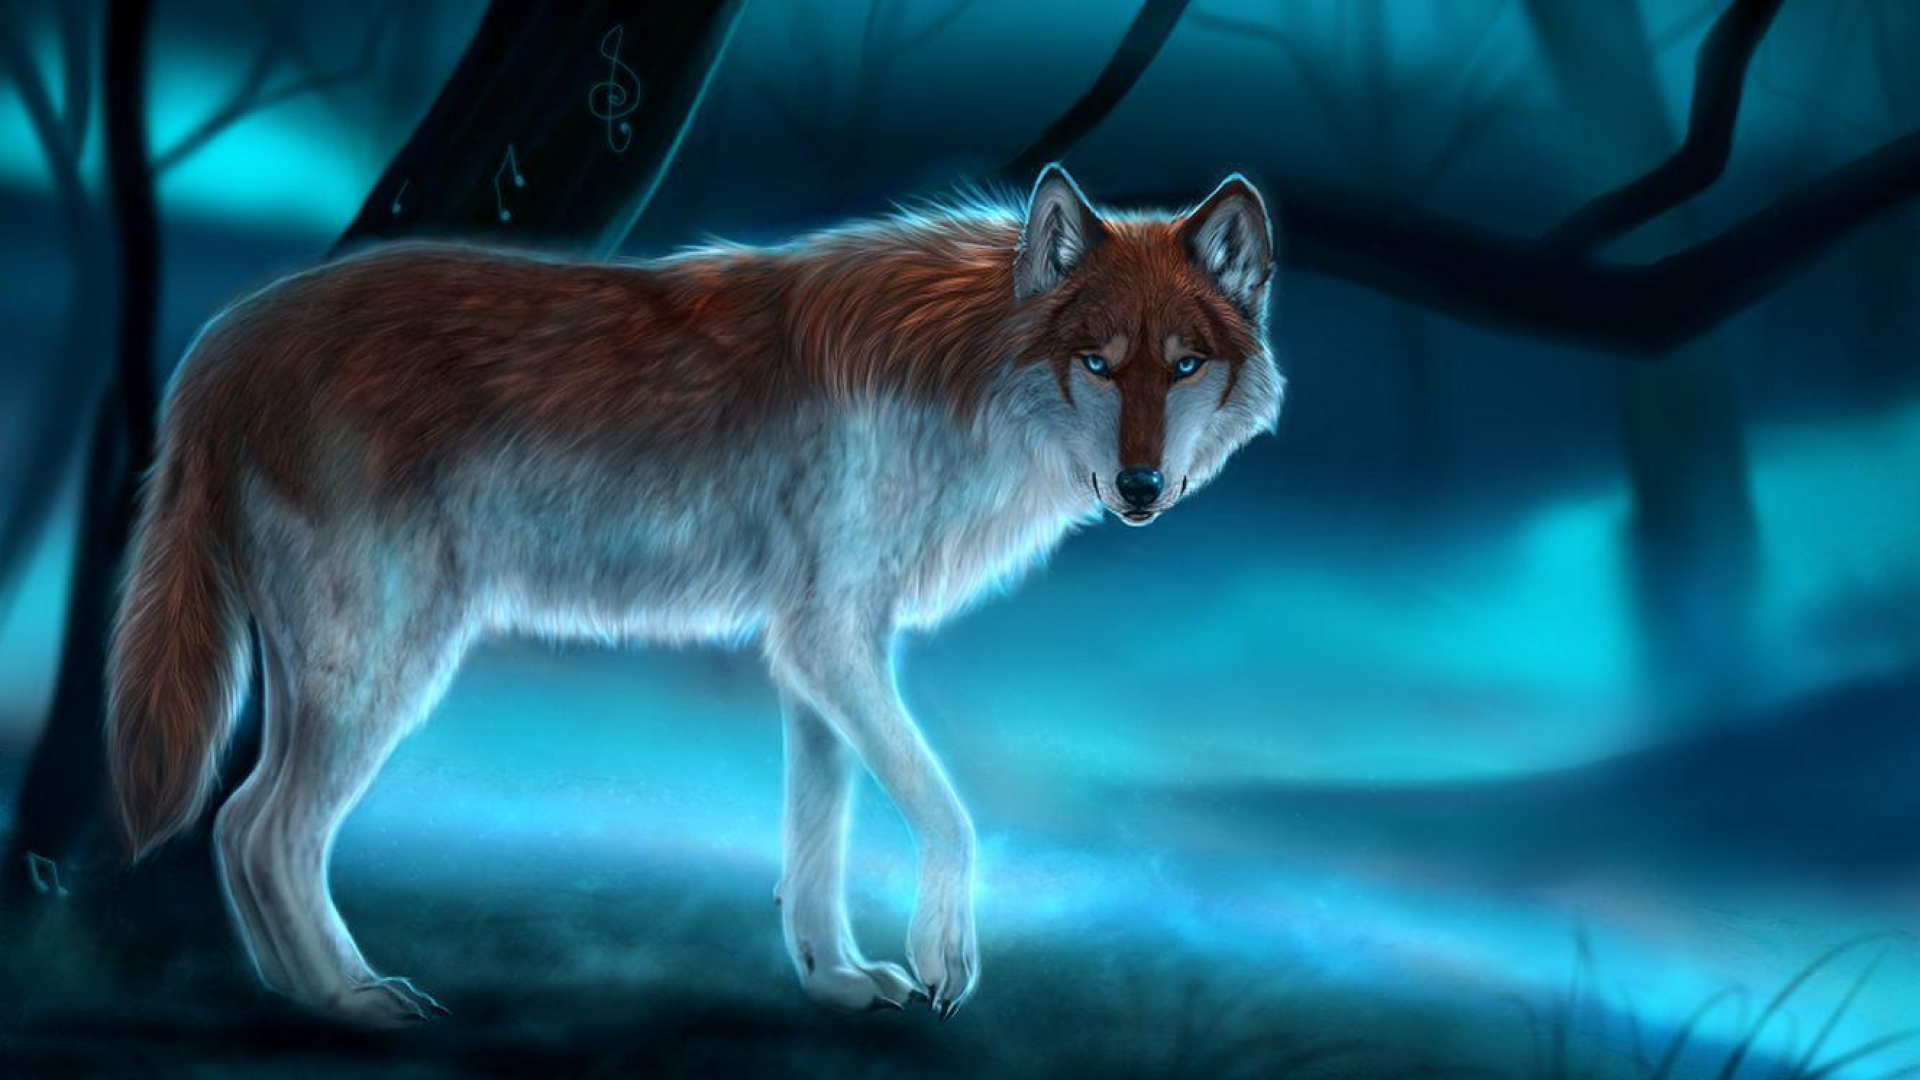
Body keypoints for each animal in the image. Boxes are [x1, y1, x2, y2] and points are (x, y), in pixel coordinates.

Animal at [105, 165, 1283, 1025]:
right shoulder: (830, 640)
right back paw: (347, 1002)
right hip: (384, 662)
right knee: (264, 828)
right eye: (1098, 363)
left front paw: (836, 978)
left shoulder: (814, 653)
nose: (1141, 487)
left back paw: (296, 994)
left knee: (239, 828)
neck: (963, 380)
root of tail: (224, 339)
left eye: (1183, 366)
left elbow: (819, 838)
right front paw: (942, 955)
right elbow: (947, 812)